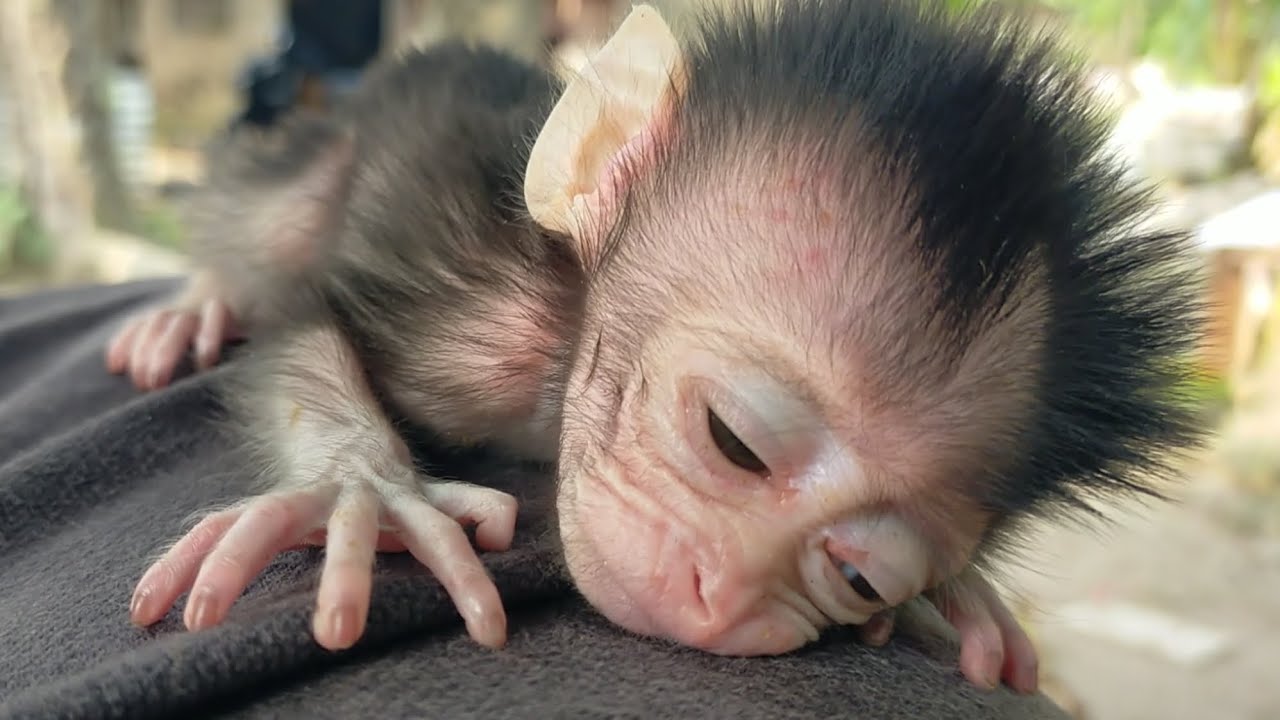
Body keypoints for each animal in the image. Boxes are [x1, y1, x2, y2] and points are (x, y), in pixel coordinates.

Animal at [106, 0, 1205, 696]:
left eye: (861, 581)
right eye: (733, 440)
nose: (718, 596)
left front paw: (960, 603)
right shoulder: (478, 331)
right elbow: (307, 325)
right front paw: (362, 493)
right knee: (271, 225)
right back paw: (195, 300)